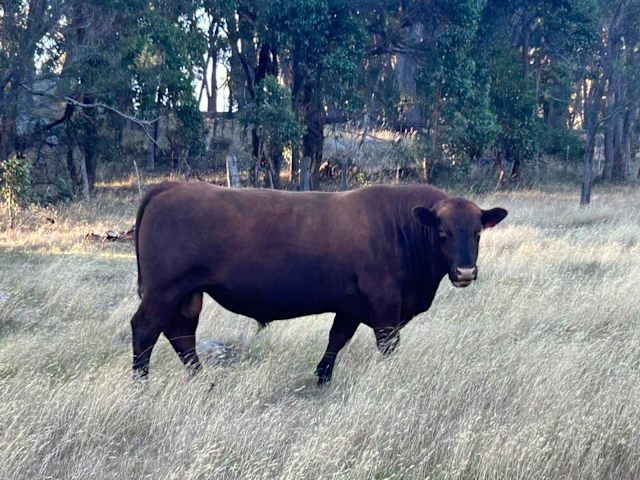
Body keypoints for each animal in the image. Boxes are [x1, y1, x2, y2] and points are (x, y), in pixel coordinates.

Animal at [131, 181, 507, 384]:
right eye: (443, 232)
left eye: (477, 231)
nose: (465, 272)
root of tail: (172, 186)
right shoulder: (385, 305)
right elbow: (387, 346)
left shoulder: (351, 306)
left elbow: (336, 339)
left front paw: (322, 378)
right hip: (165, 290)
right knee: (146, 329)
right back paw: (141, 384)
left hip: (187, 294)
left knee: (181, 334)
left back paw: (201, 379)